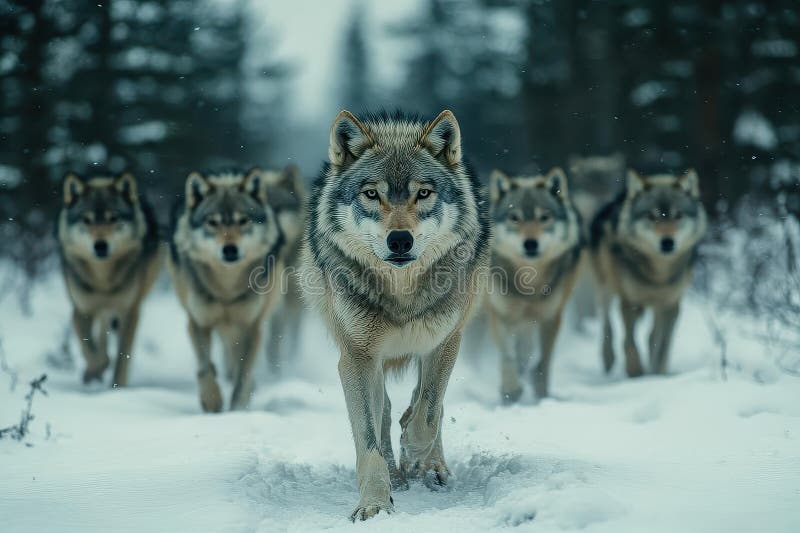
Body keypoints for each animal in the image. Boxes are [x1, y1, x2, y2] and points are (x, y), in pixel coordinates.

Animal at [57, 171, 163, 386]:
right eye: (86, 220)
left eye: (113, 218)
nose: (100, 245)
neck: (102, 280)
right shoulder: (80, 310)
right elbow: (89, 350)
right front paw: (94, 371)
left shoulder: (129, 312)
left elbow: (122, 356)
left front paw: (117, 387)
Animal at [169, 168, 285, 412]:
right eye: (212, 222)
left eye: (243, 220)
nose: (230, 249)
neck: (226, 289)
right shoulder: (198, 322)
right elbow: (204, 368)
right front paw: (212, 402)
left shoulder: (251, 326)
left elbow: (243, 375)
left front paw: (237, 410)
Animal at [300, 109, 490, 520]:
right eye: (372, 194)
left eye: (424, 193)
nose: (400, 240)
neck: (401, 291)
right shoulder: (357, 358)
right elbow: (369, 441)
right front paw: (374, 502)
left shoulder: (444, 342)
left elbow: (428, 413)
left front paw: (416, 454)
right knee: (385, 409)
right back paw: (397, 475)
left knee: (425, 402)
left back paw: (430, 467)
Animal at [486, 168, 582, 402]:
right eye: (514, 218)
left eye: (544, 217)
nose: (530, 243)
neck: (530, 281)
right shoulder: (500, 314)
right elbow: (507, 356)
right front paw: (511, 390)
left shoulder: (551, 318)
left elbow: (543, 362)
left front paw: (542, 395)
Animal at [590, 169, 707, 377]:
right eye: (652, 216)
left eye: (678, 215)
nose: (667, 242)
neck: (658, 275)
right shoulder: (629, 302)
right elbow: (629, 343)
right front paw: (636, 373)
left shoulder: (671, 305)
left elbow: (661, 347)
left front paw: (657, 374)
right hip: (605, 289)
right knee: (606, 323)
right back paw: (608, 358)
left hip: (656, 308)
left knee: (651, 336)